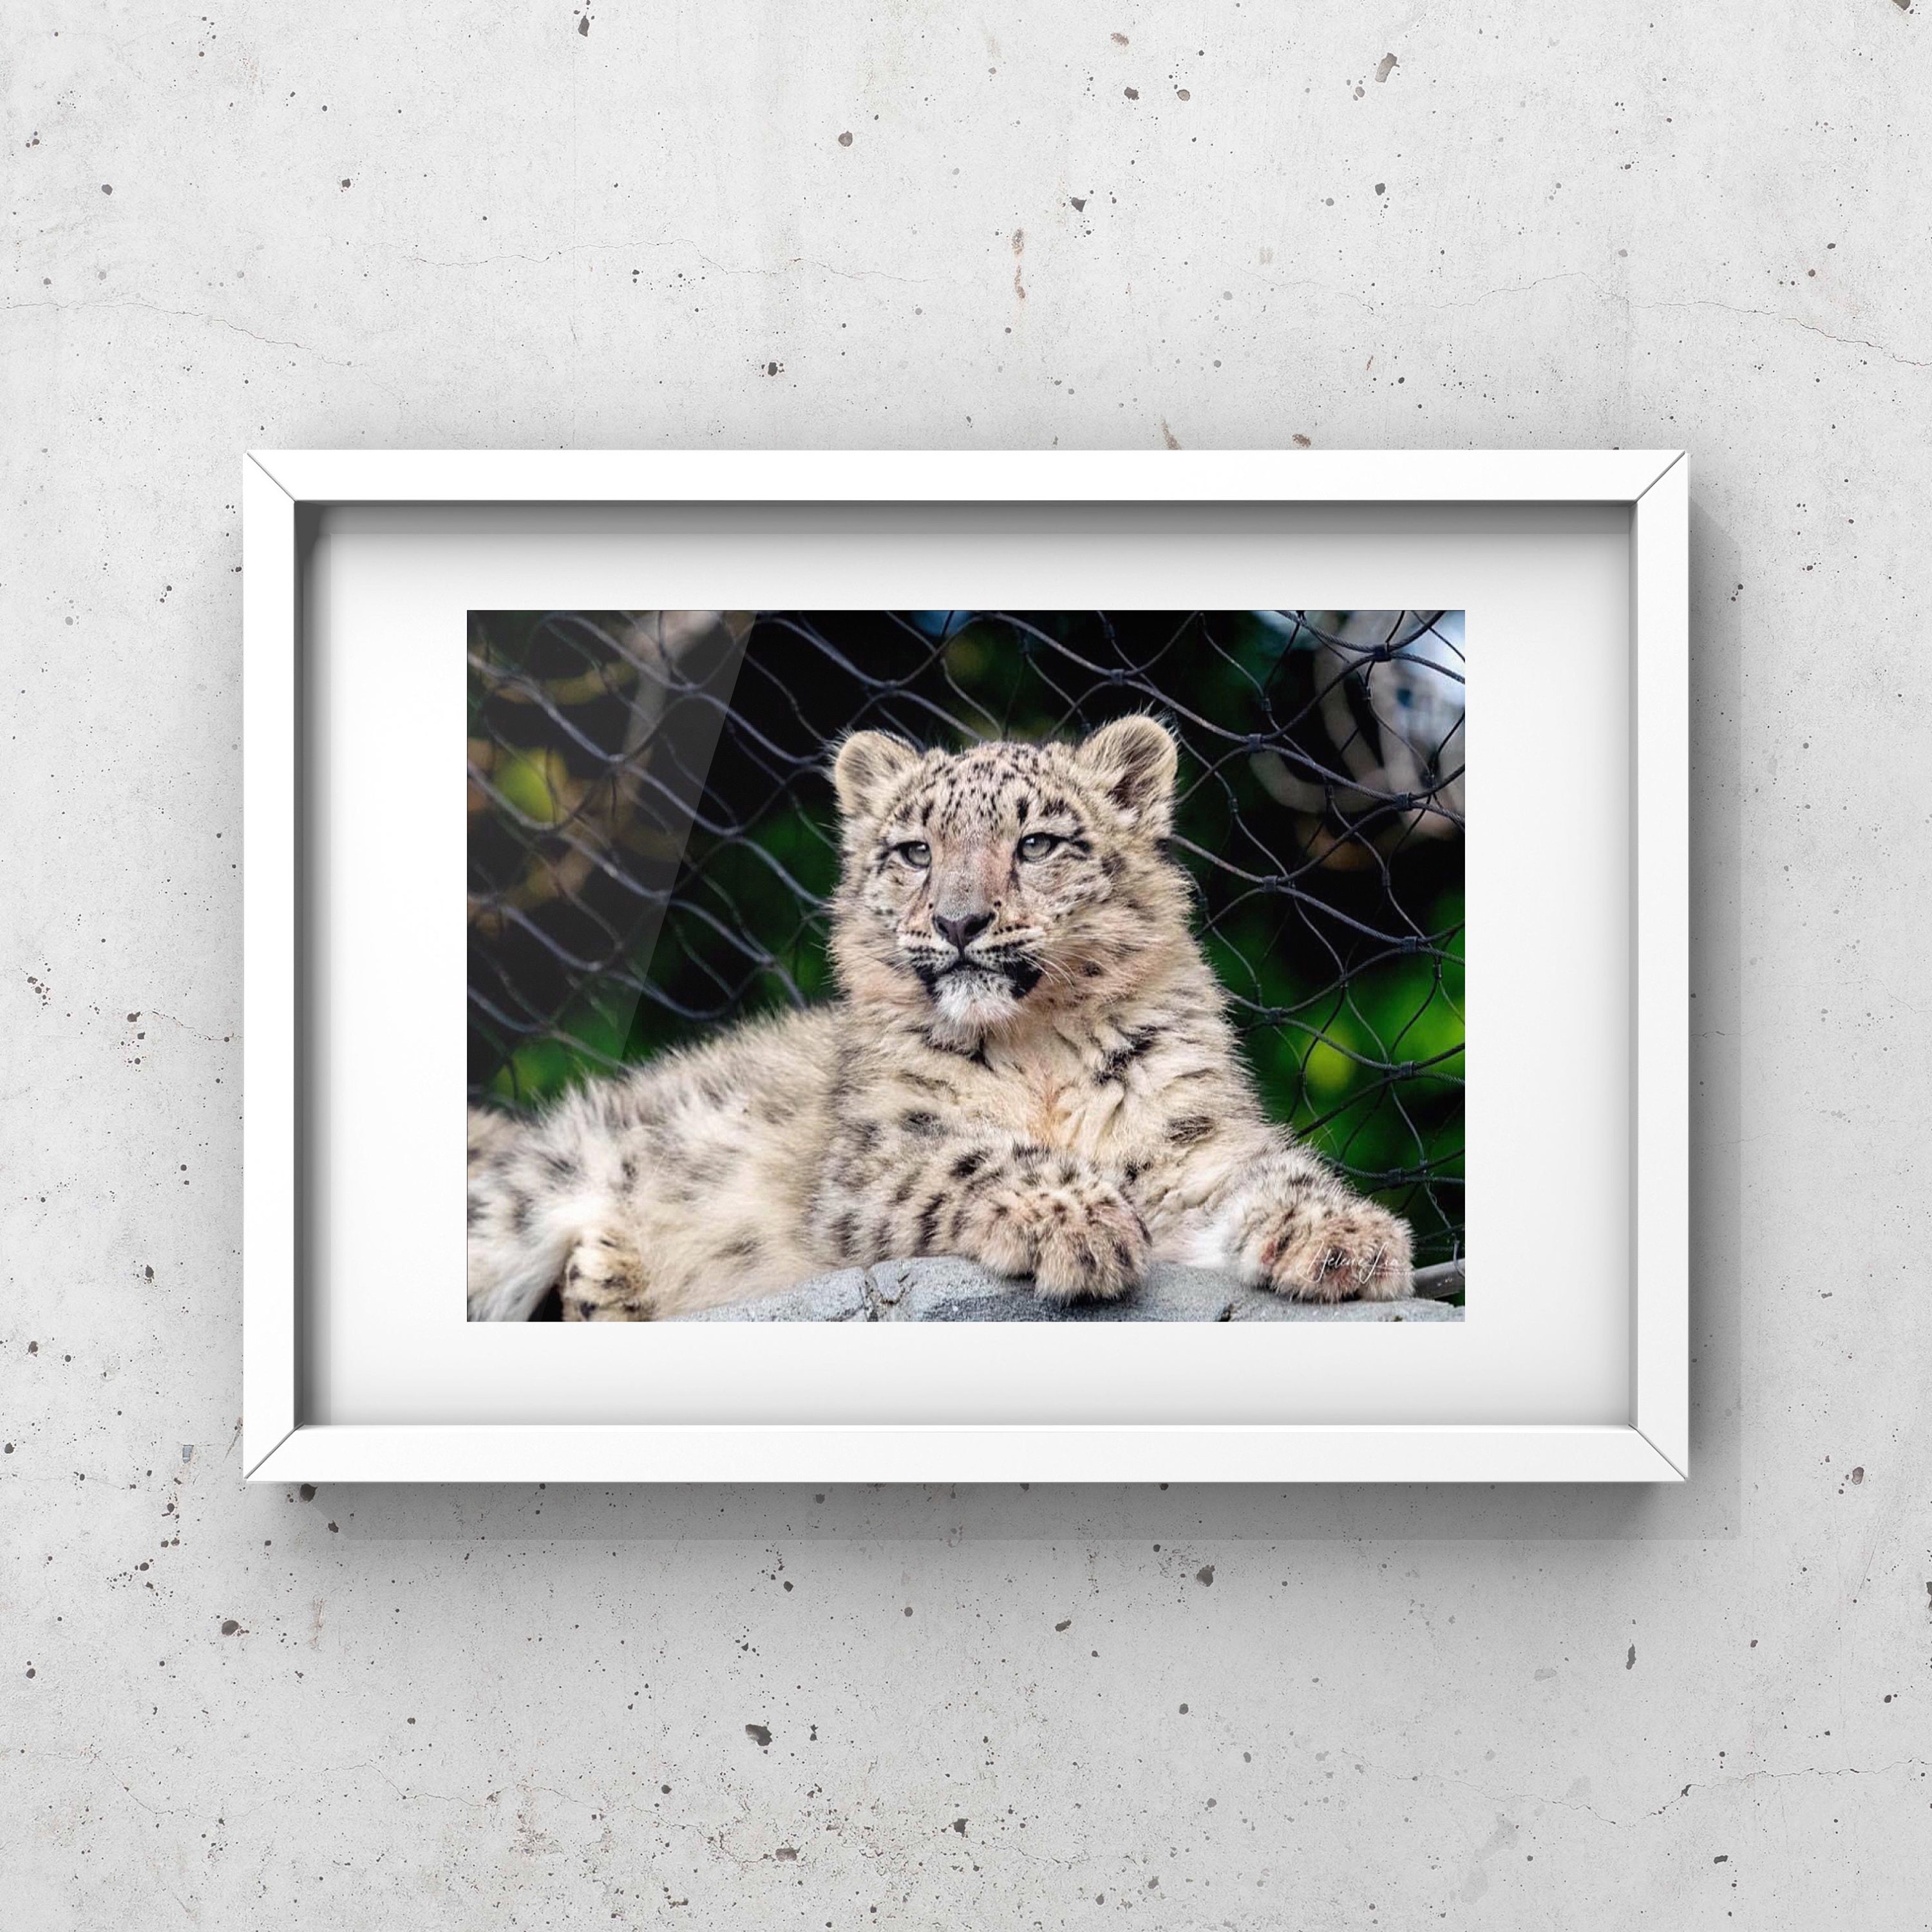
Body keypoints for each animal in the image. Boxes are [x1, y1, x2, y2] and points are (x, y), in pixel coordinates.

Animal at [466, 715, 1413, 1320]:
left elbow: (1268, 1175)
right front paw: (1084, 1222)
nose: (959, 922)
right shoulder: (879, 1154)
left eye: (1038, 843)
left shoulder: (1188, 1140)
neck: (1039, 1051)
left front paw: (1350, 1237)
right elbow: (978, 1157)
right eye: (915, 850)